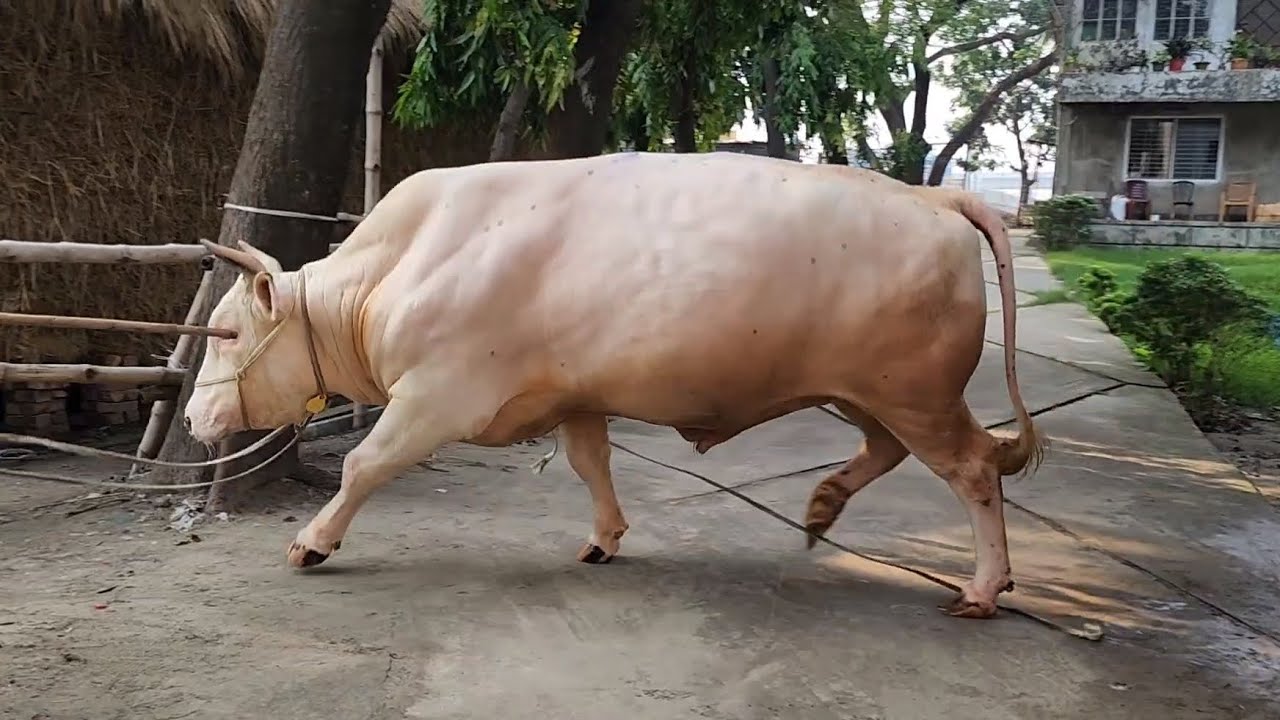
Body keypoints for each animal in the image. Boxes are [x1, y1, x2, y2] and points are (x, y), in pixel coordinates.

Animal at [185, 151, 1045, 619]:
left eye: (225, 333)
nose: (193, 417)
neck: (403, 264)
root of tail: (931, 195)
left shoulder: (437, 393)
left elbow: (365, 465)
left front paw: (312, 541)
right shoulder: (575, 397)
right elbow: (590, 463)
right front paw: (605, 536)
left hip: (914, 393)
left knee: (974, 468)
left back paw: (983, 586)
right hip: (867, 393)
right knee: (892, 452)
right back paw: (824, 503)